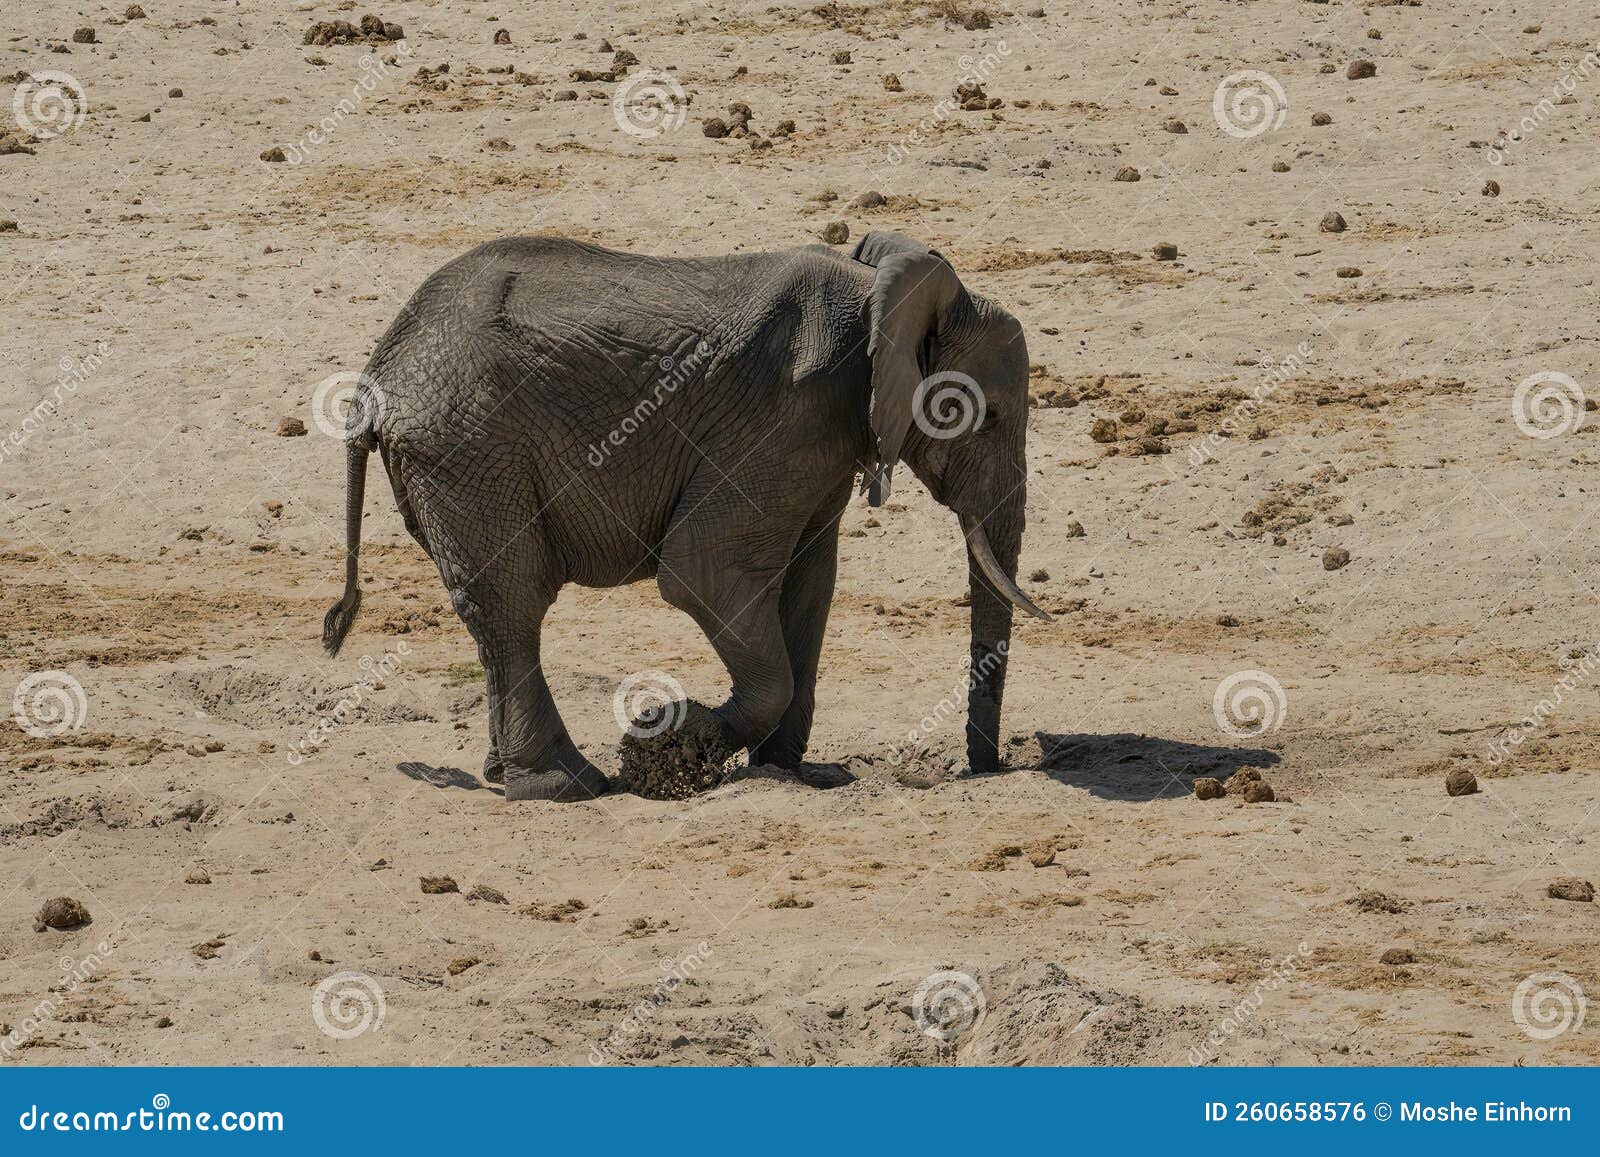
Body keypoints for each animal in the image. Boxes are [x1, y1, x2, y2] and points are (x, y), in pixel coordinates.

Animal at [322, 230, 1050, 801]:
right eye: (984, 414)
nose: (985, 769)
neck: (878, 292)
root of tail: (381, 364)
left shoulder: (819, 438)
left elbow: (810, 587)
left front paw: (794, 773)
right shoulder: (782, 421)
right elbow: (703, 574)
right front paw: (661, 747)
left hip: (449, 462)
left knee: (493, 611)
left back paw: (507, 774)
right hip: (473, 450)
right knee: (513, 603)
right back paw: (566, 785)